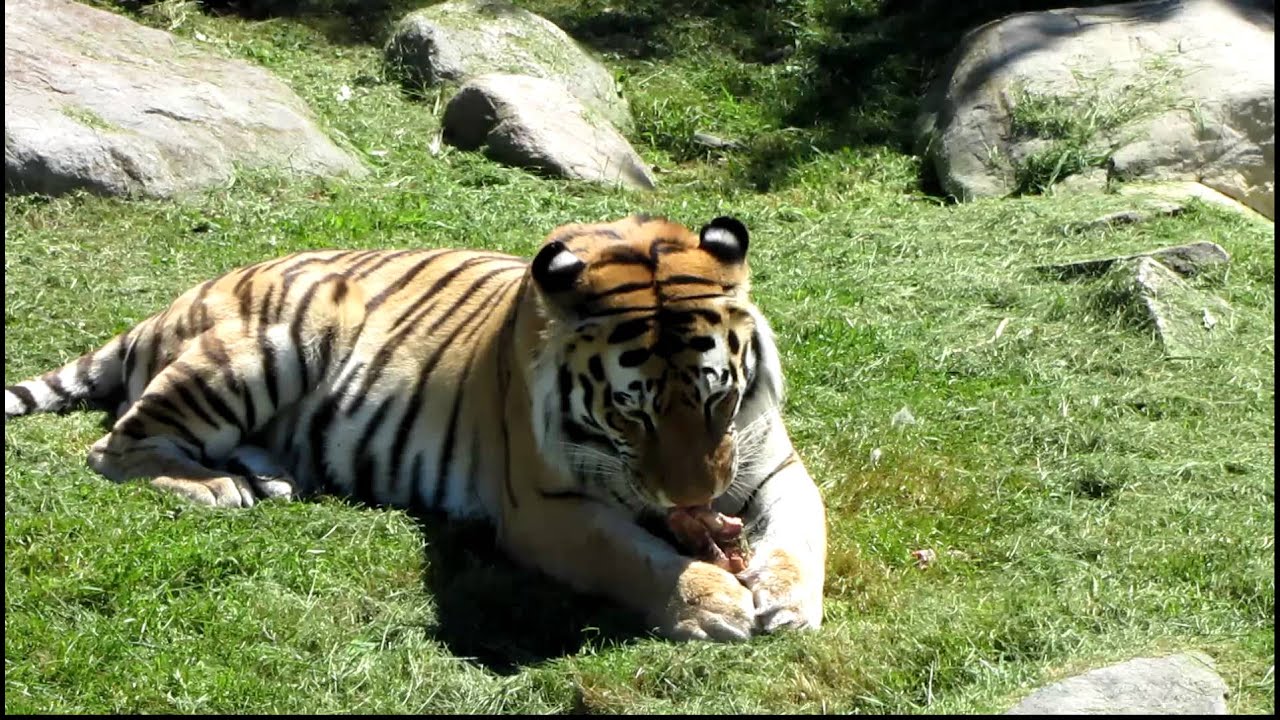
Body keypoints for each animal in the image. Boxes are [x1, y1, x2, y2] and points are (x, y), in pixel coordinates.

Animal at [4, 213, 828, 642]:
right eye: (633, 411)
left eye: (719, 401)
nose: (694, 500)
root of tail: (173, 302)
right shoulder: (545, 510)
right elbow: (638, 558)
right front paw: (712, 603)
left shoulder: (776, 467)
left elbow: (799, 532)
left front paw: (786, 600)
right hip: (281, 334)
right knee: (114, 445)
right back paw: (218, 489)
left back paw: (269, 477)